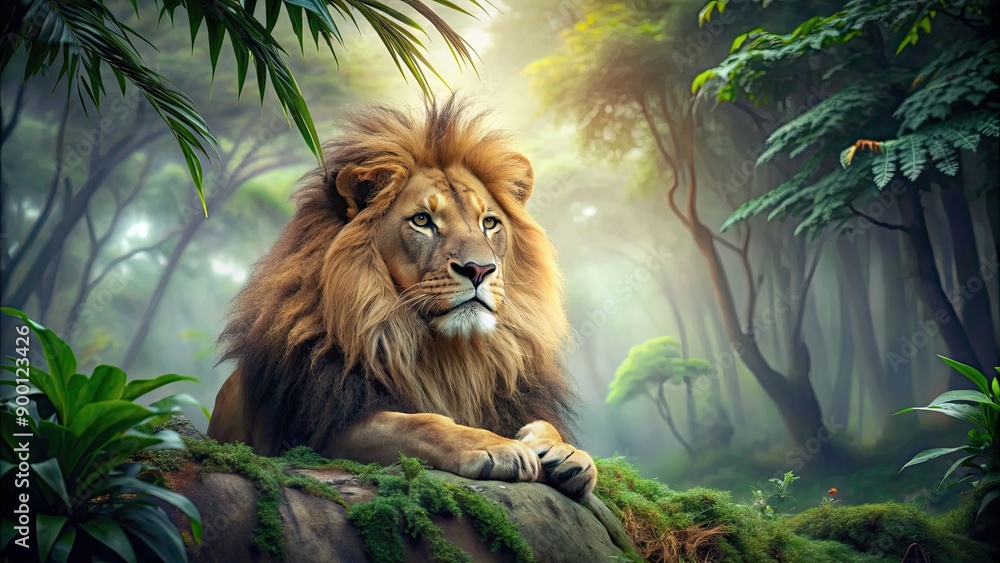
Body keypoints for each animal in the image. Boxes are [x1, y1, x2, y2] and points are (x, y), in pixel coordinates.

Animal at [207, 96, 597, 499]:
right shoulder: (317, 428)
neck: (451, 355)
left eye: (489, 223)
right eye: (422, 220)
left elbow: (545, 425)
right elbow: (416, 424)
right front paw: (495, 446)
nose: (479, 269)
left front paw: (566, 452)